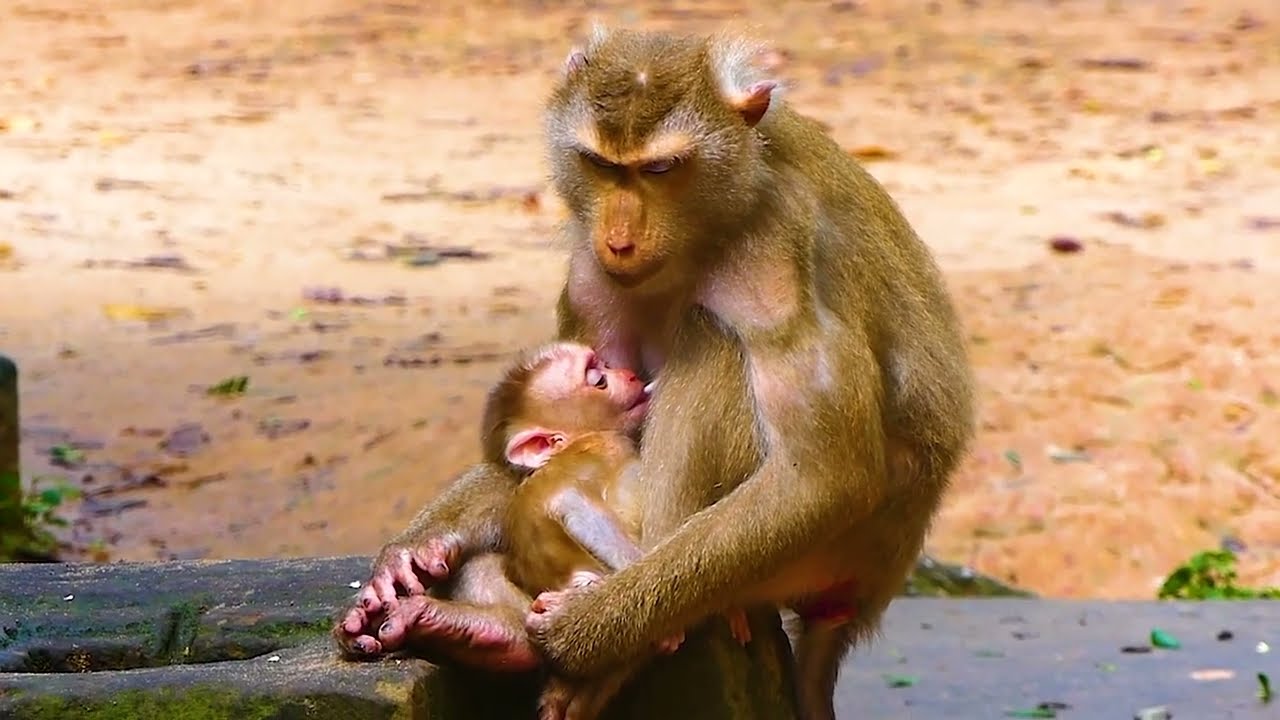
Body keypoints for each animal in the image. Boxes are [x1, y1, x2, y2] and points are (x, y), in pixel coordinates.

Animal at [336, 26, 975, 720]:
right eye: (602, 165)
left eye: (660, 170)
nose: (619, 238)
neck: (709, 224)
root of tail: (865, 597)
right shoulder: (591, 273)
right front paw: (412, 555)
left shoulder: (775, 259)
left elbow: (824, 475)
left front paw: (584, 633)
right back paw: (484, 631)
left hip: (824, 557)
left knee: (713, 344)